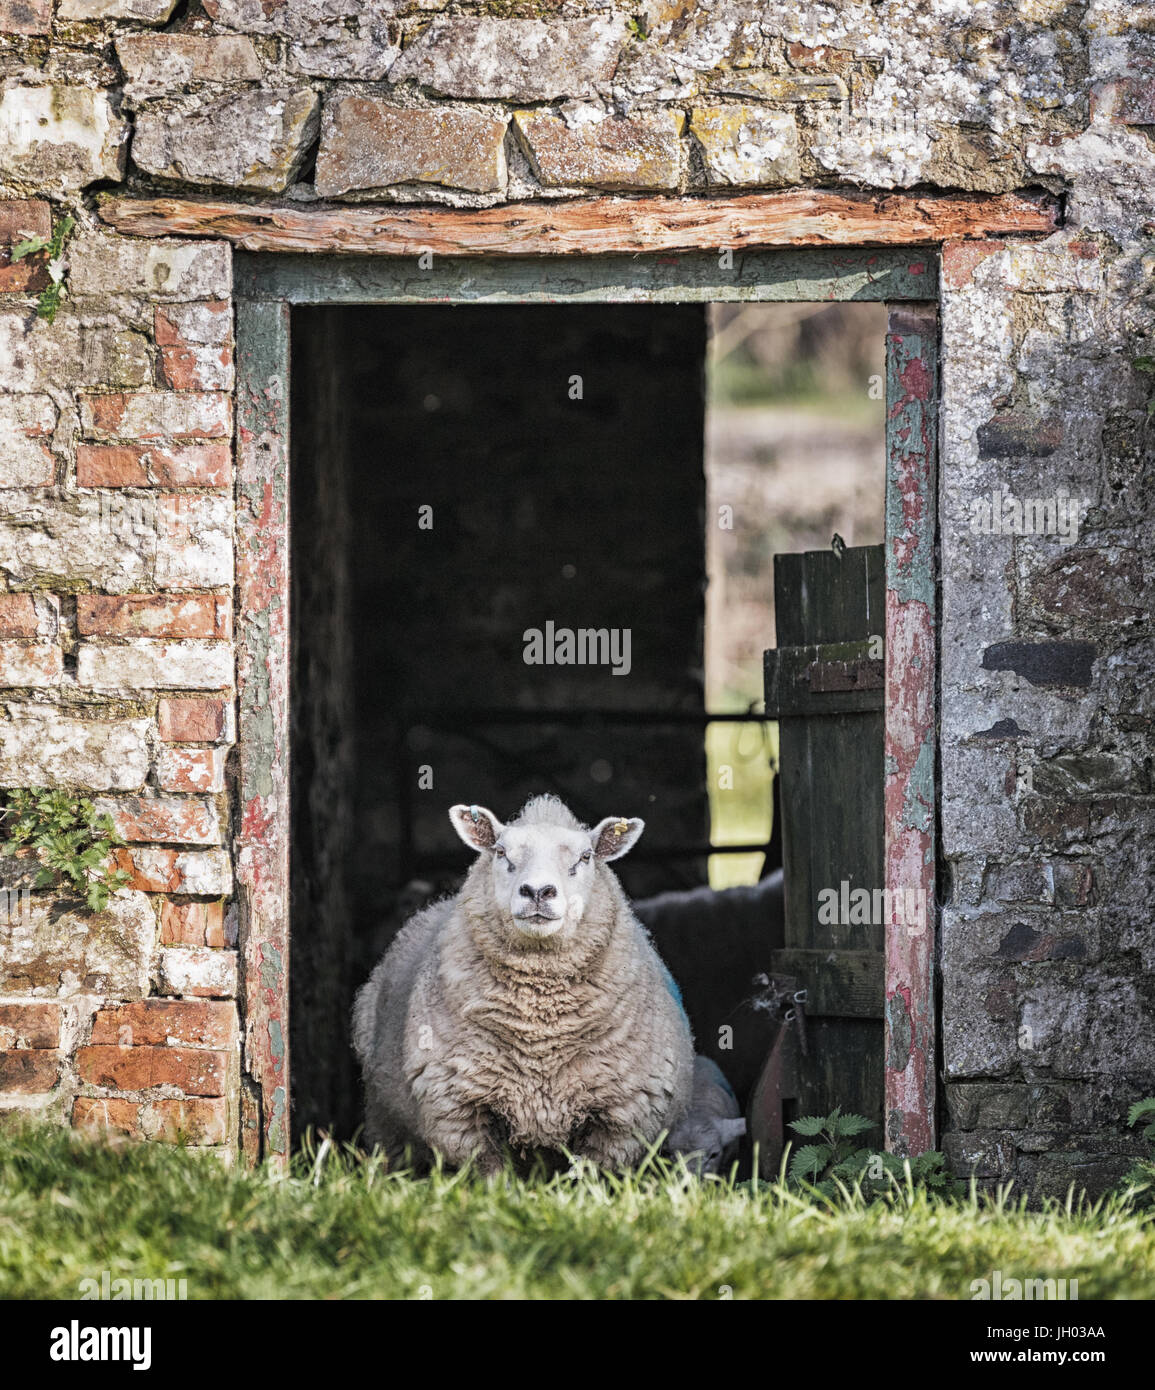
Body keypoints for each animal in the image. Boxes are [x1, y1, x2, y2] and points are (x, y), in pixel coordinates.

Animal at [351, 794, 695, 1174]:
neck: (540, 1036)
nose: (537, 891)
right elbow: (490, 1175)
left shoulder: (622, 1120)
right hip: (387, 1124)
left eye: (585, 856)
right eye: (501, 852)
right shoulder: (459, 1111)